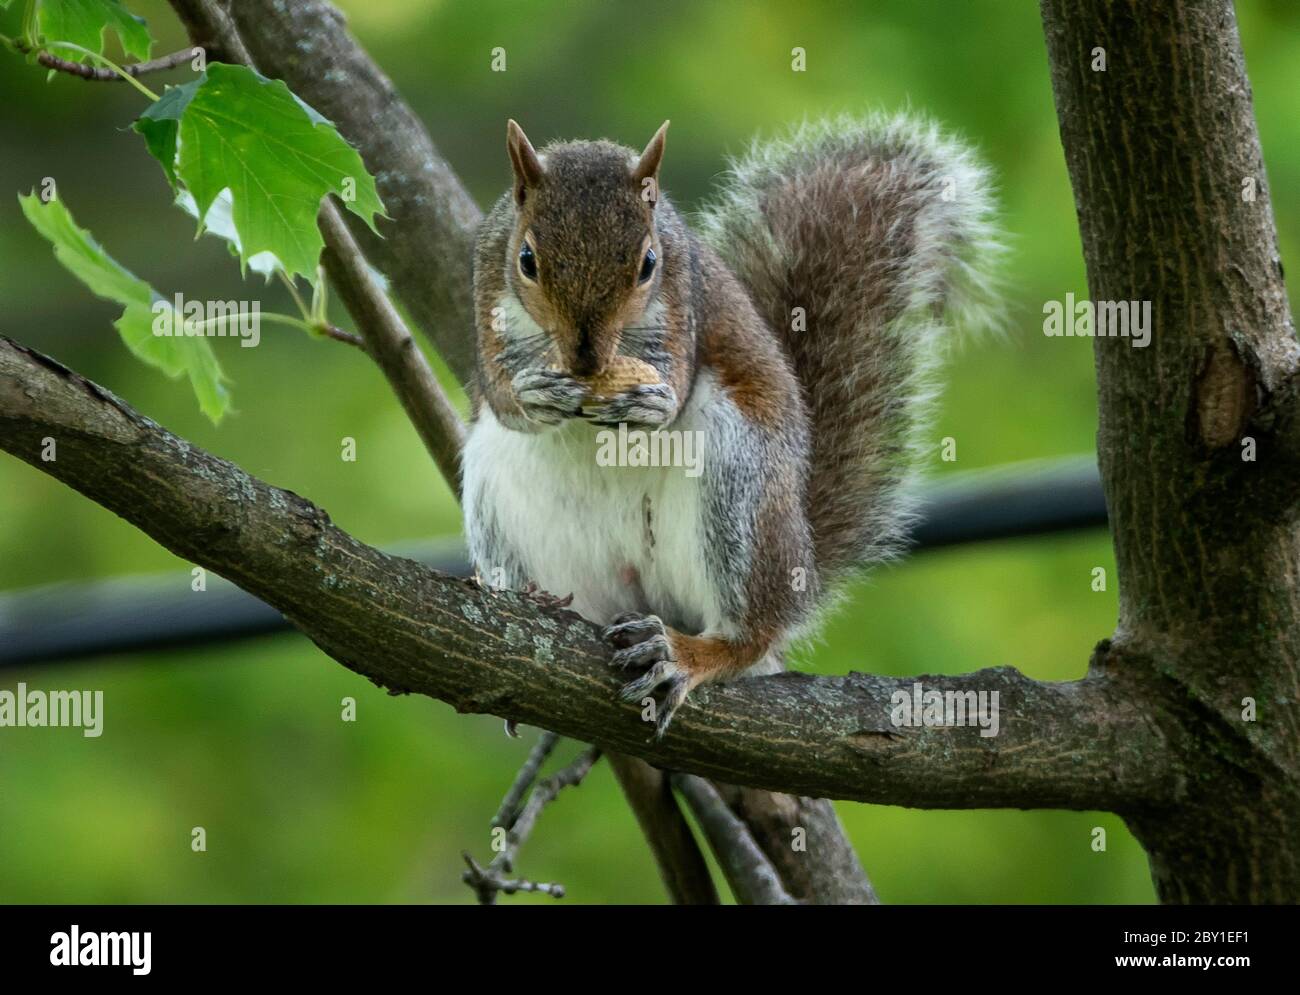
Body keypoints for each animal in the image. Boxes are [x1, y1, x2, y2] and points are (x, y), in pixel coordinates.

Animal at [463, 113, 1000, 737]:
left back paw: (692, 653)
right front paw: (534, 394)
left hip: (739, 479)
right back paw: (531, 599)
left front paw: (651, 404)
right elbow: (499, 391)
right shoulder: (484, 273)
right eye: (527, 259)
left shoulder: (684, 296)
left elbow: (675, 380)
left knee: (750, 636)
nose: (586, 359)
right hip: (490, 489)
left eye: (648, 263)